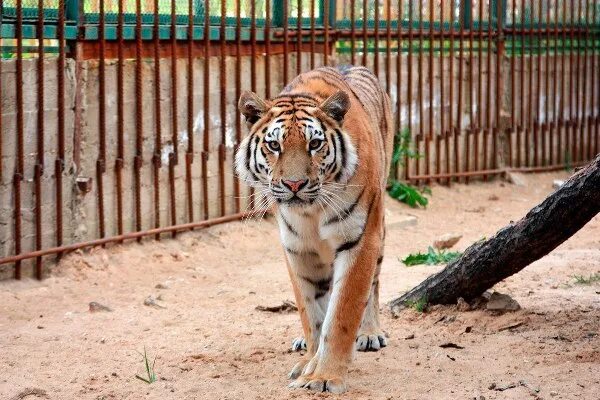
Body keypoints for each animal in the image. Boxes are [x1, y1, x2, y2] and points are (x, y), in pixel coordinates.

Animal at [234, 65, 394, 394]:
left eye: (315, 144)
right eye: (274, 145)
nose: (294, 184)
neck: (310, 211)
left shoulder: (360, 241)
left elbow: (342, 314)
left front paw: (324, 376)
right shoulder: (298, 250)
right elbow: (311, 315)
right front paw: (309, 362)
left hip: (379, 225)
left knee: (373, 283)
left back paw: (370, 332)